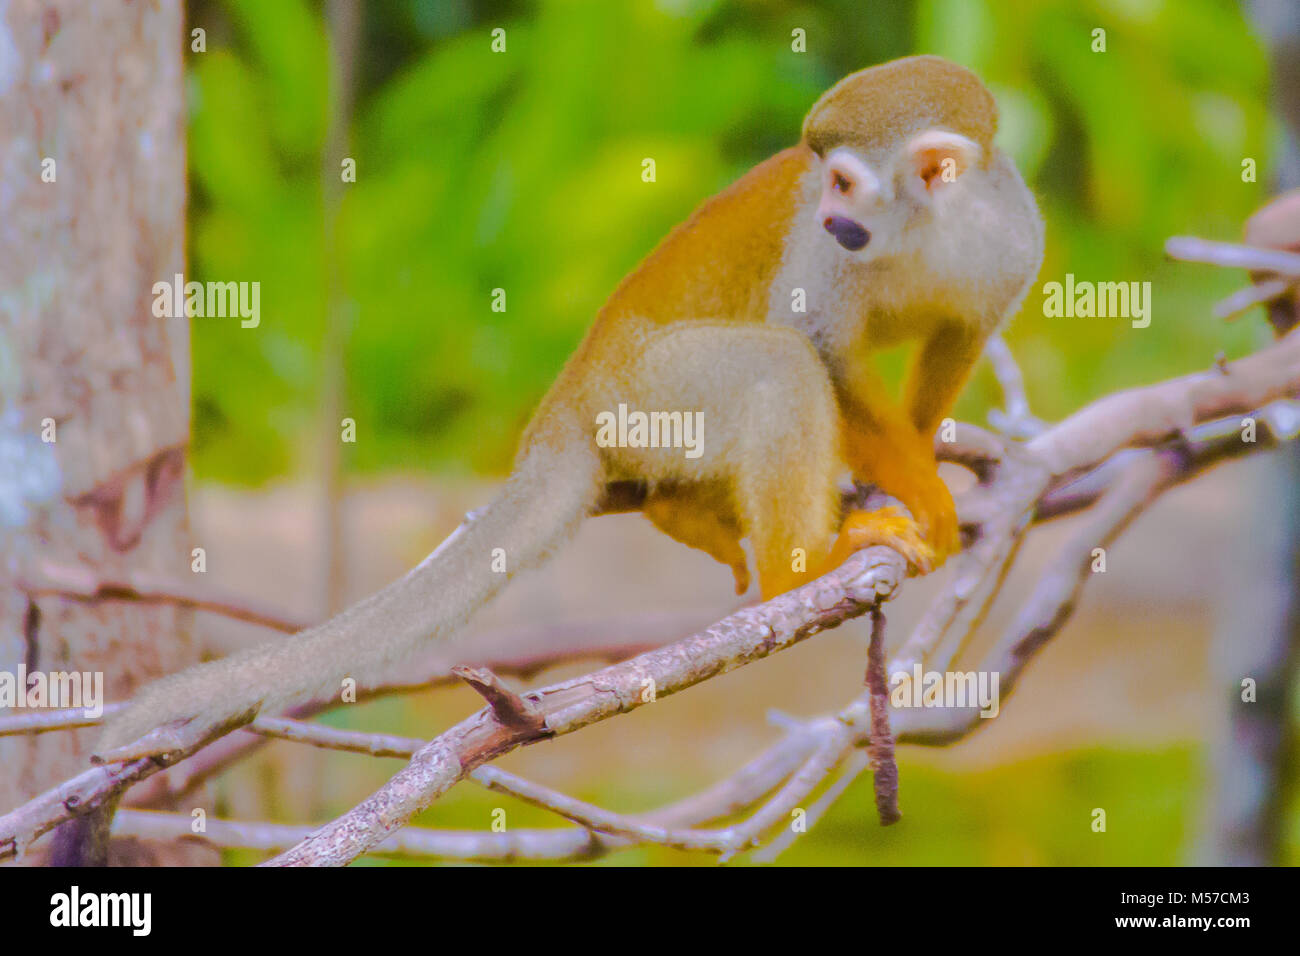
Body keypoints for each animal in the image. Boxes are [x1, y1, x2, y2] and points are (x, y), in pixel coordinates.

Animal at [97, 55, 1043, 760]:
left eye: (846, 182)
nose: (824, 213)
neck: (928, 232)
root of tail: (569, 391)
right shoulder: (828, 262)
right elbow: (821, 344)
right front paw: (920, 489)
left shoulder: (1014, 236)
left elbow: (960, 334)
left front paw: (918, 465)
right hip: (645, 387)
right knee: (781, 362)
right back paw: (798, 571)